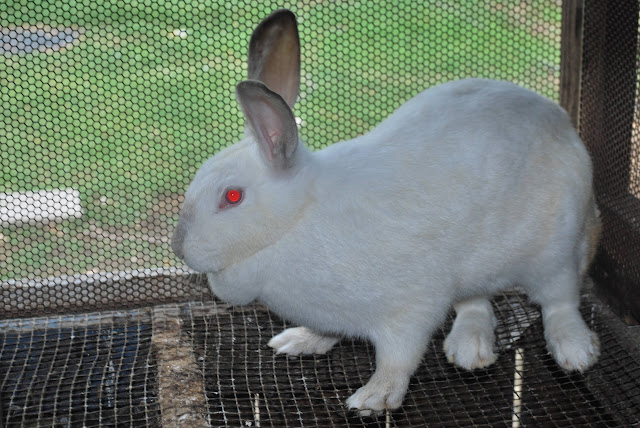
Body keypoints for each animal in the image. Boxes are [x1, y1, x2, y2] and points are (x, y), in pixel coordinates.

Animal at [171, 9, 601, 413]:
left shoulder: (412, 308)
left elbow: (398, 357)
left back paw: (575, 350)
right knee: (475, 303)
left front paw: (374, 397)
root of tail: (564, 125)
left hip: (555, 252)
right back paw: (469, 347)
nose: (179, 248)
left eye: (232, 197)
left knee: (560, 301)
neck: (296, 222)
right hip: (477, 273)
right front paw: (300, 340)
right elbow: (329, 332)